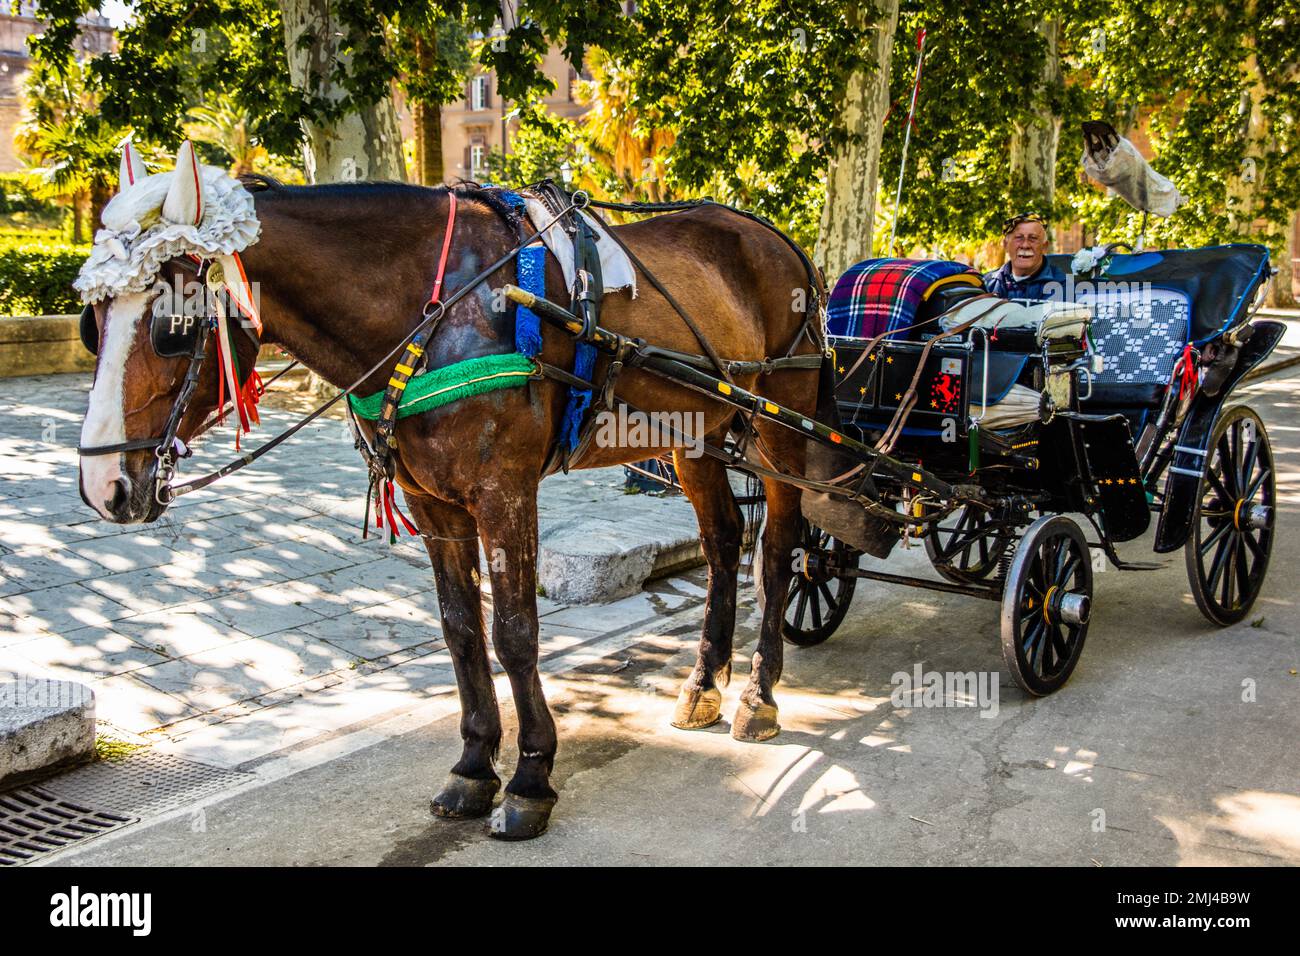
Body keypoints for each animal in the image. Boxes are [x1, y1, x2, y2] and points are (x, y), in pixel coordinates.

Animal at [76, 150, 825, 840]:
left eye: (171, 329)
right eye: (91, 324)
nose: (102, 488)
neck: (438, 305)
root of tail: (780, 240)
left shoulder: (504, 492)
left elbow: (515, 633)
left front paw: (529, 777)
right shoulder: (432, 502)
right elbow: (461, 631)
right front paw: (472, 766)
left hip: (781, 427)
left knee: (779, 546)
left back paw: (759, 693)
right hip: (698, 435)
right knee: (724, 542)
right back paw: (704, 683)